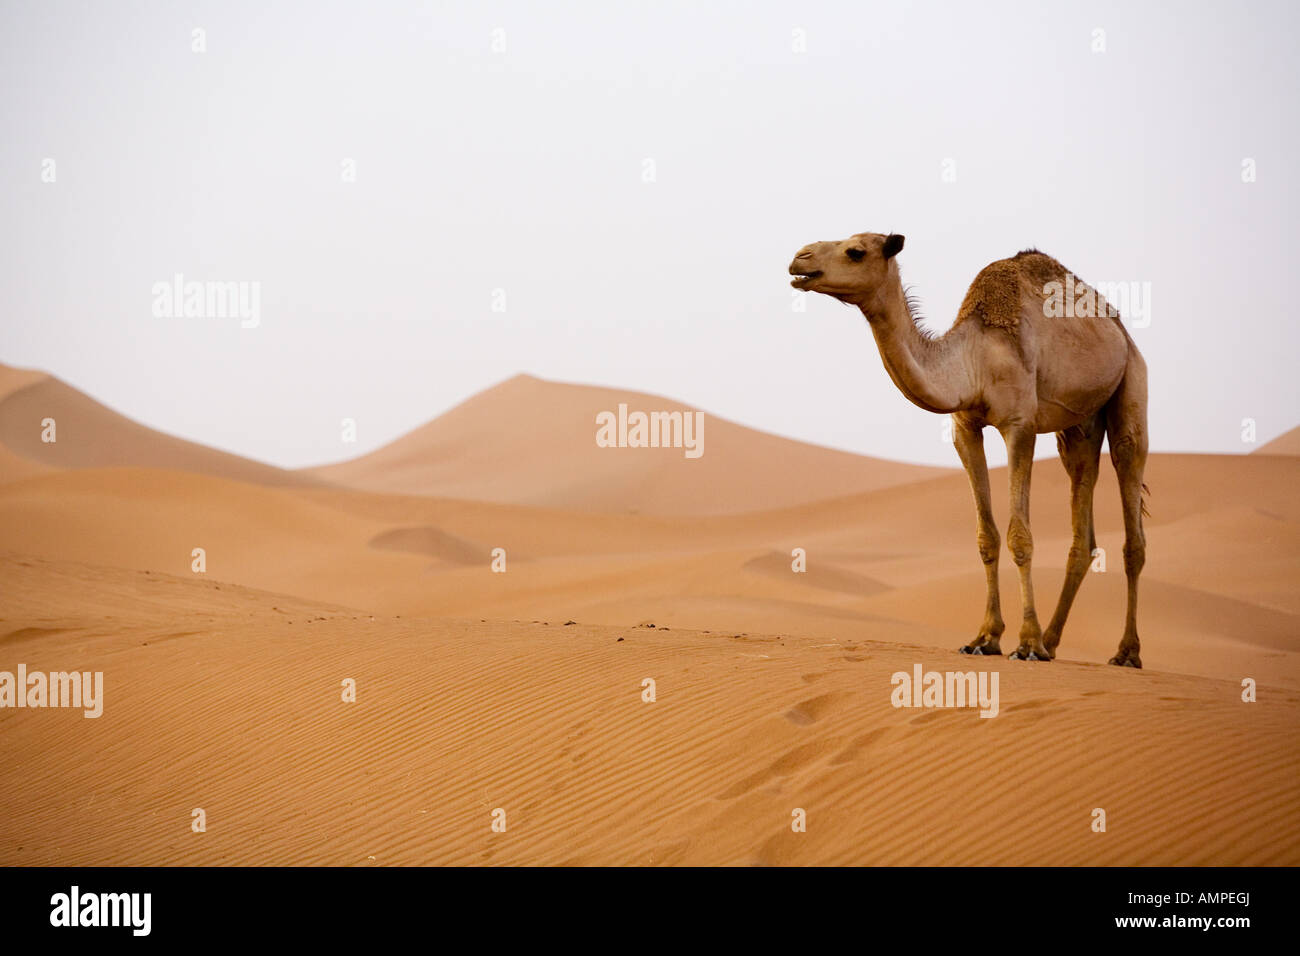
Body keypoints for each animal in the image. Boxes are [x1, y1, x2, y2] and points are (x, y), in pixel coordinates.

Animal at [788, 232, 1147, 667]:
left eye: (855, 251)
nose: (799, 259)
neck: (976, 358)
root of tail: (1118, 326)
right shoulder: (965, 427)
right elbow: (986, 537)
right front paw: (986, 638)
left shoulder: (1020, 425)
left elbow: (1019, 536)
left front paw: (1026, 644)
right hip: (1079, 426)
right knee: (1083, 529)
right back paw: (1052, 641)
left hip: (1131, 383)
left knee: (1131, 511)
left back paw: (1124, 652)